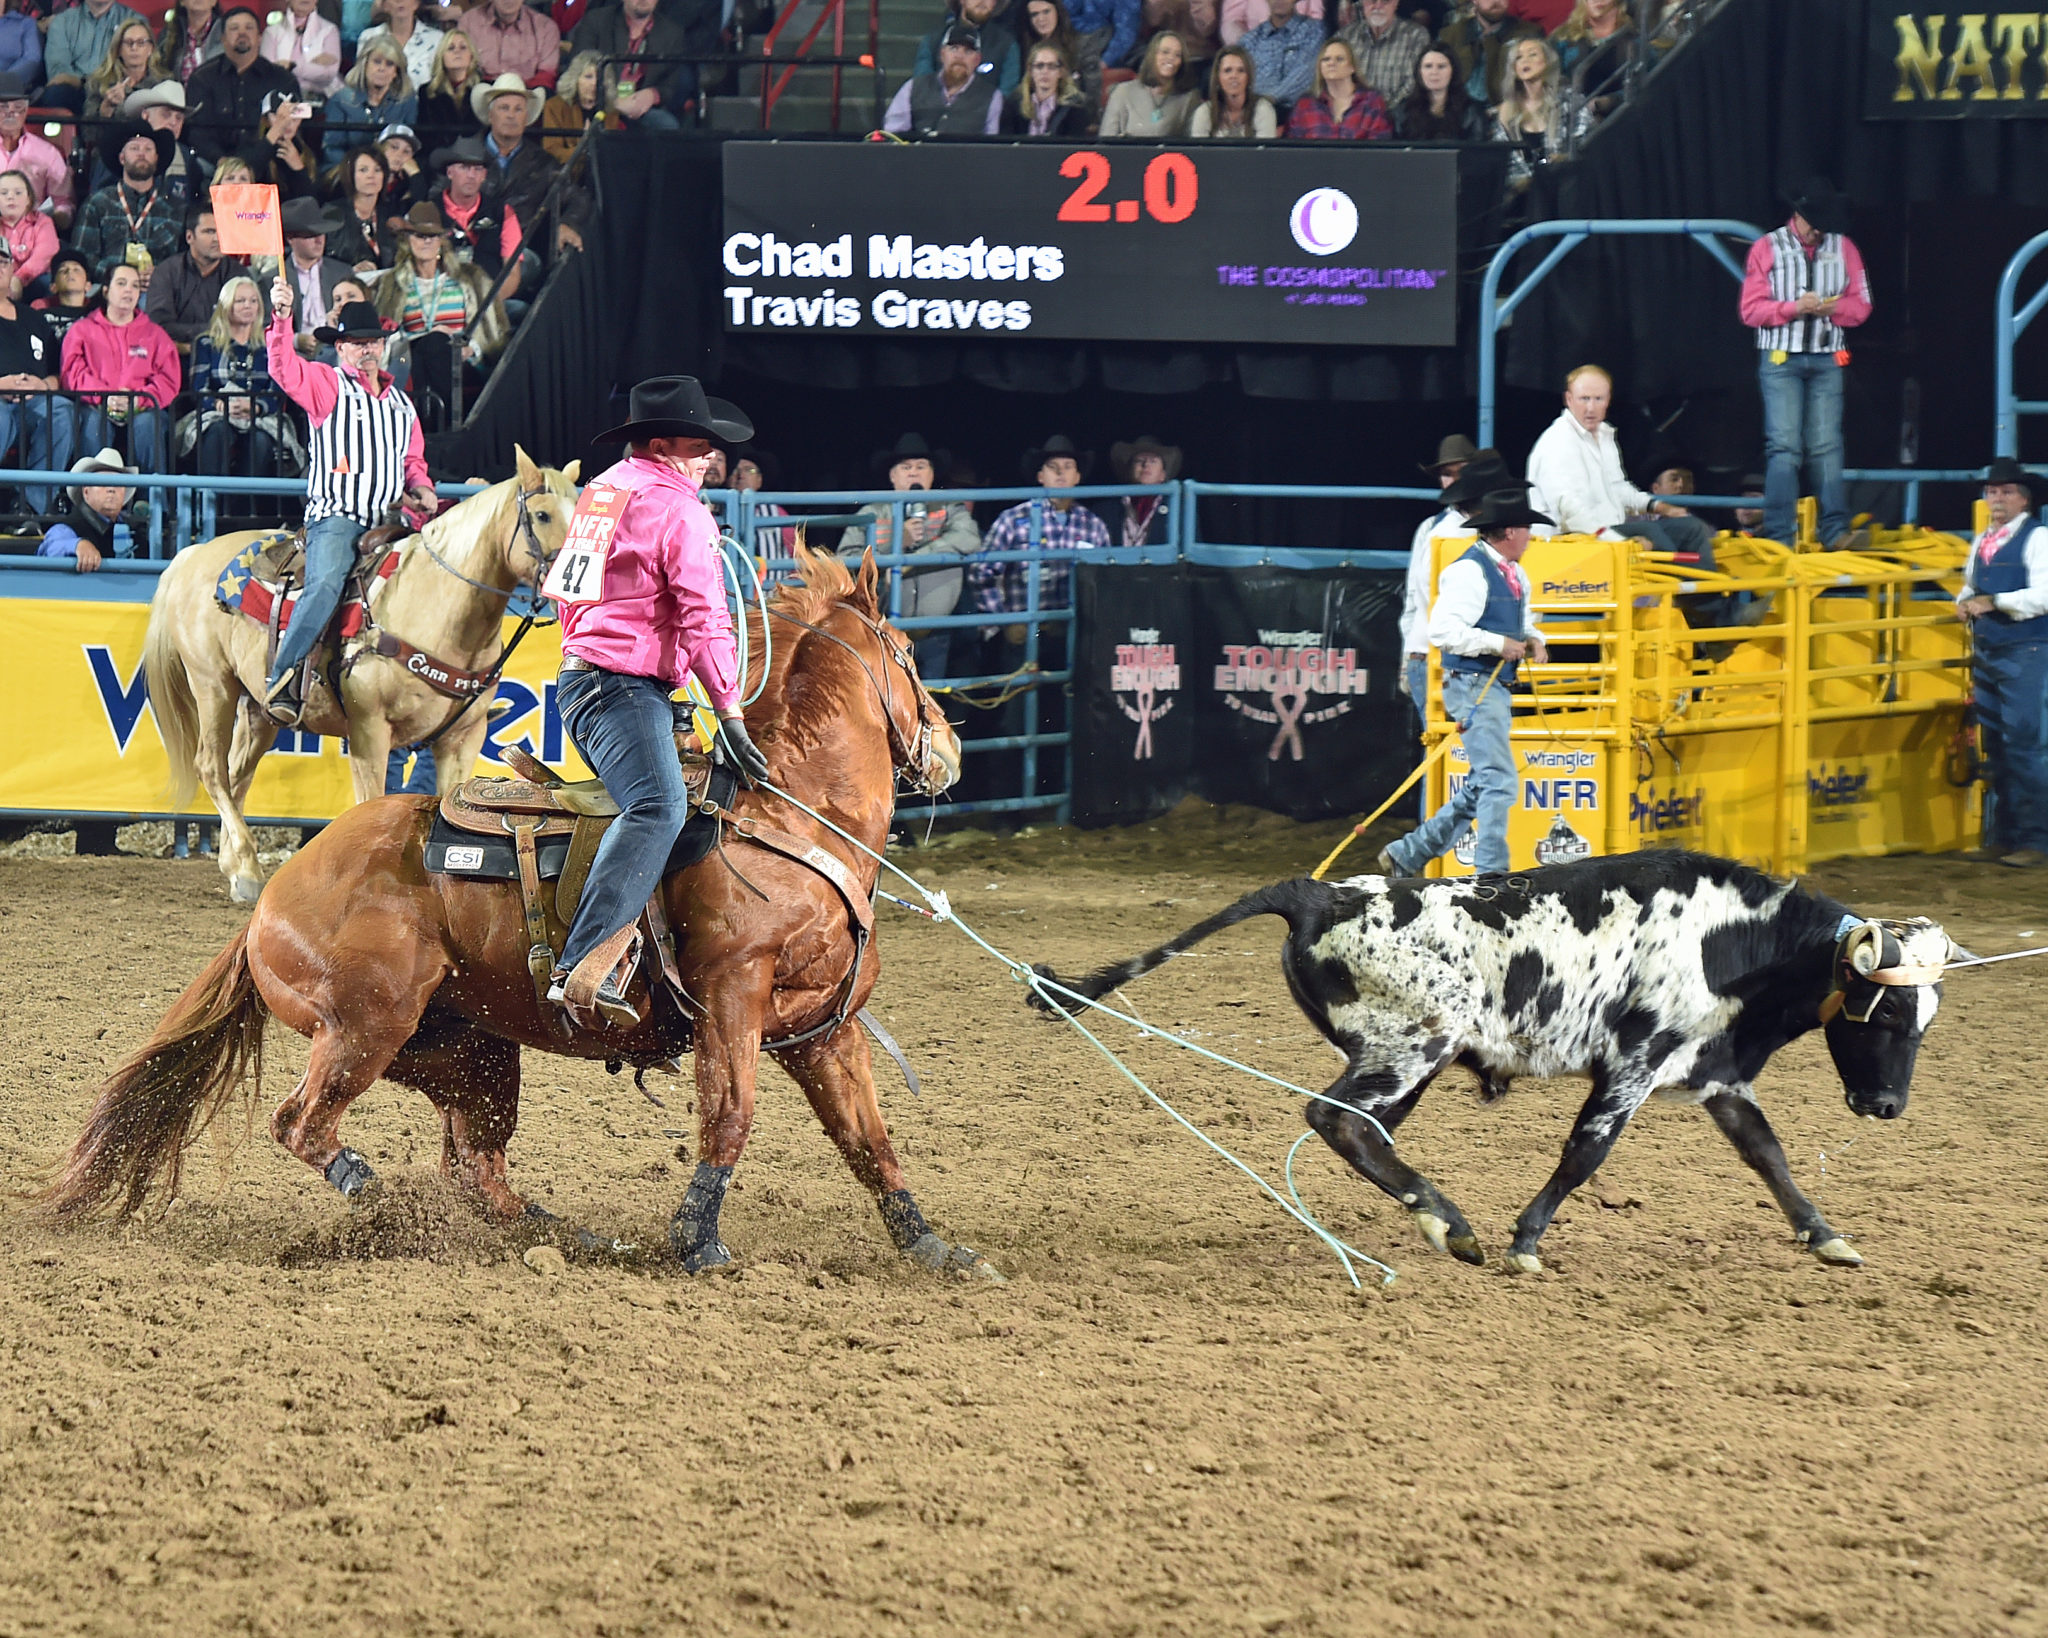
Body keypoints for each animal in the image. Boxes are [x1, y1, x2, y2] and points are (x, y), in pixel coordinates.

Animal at [39, 545, 993, 1280]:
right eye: (910, 652)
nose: (950, 748)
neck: (785, 812)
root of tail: (273, 898)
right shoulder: (733, 1002)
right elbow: (729, 1117)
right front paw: (698, 1244)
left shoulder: (824, 1027)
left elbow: (867, 1139)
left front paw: (935, 1249)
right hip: (363, 1026)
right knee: (303, 1123)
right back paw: (377, 1199)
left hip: (468, 1052)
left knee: (477, 1171)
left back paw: (573, 1238)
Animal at [143, 445, 580, 902]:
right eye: (542, 515)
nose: (570, 586)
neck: (435, 605)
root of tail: (193, 554)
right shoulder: (369, 730)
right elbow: (368, 803)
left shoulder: (462, 738)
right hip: (213, 685)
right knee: (211, 767)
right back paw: (245, 865)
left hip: (258, 709)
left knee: (237, 774)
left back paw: (237, 869)